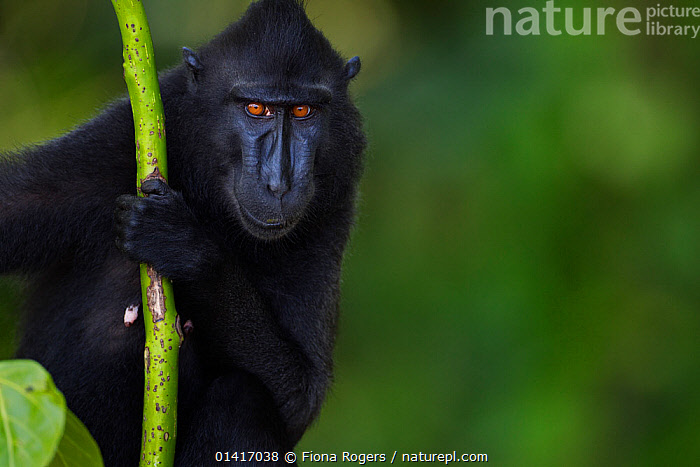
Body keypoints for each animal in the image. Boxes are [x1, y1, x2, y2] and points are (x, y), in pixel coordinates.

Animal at [0, 0, 365, 465]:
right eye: (256, 110)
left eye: (304, 112)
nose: (278, 184)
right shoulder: (116, 145)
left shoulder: (334, 202)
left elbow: (301, 395)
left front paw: (186, 248)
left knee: (241, 396)